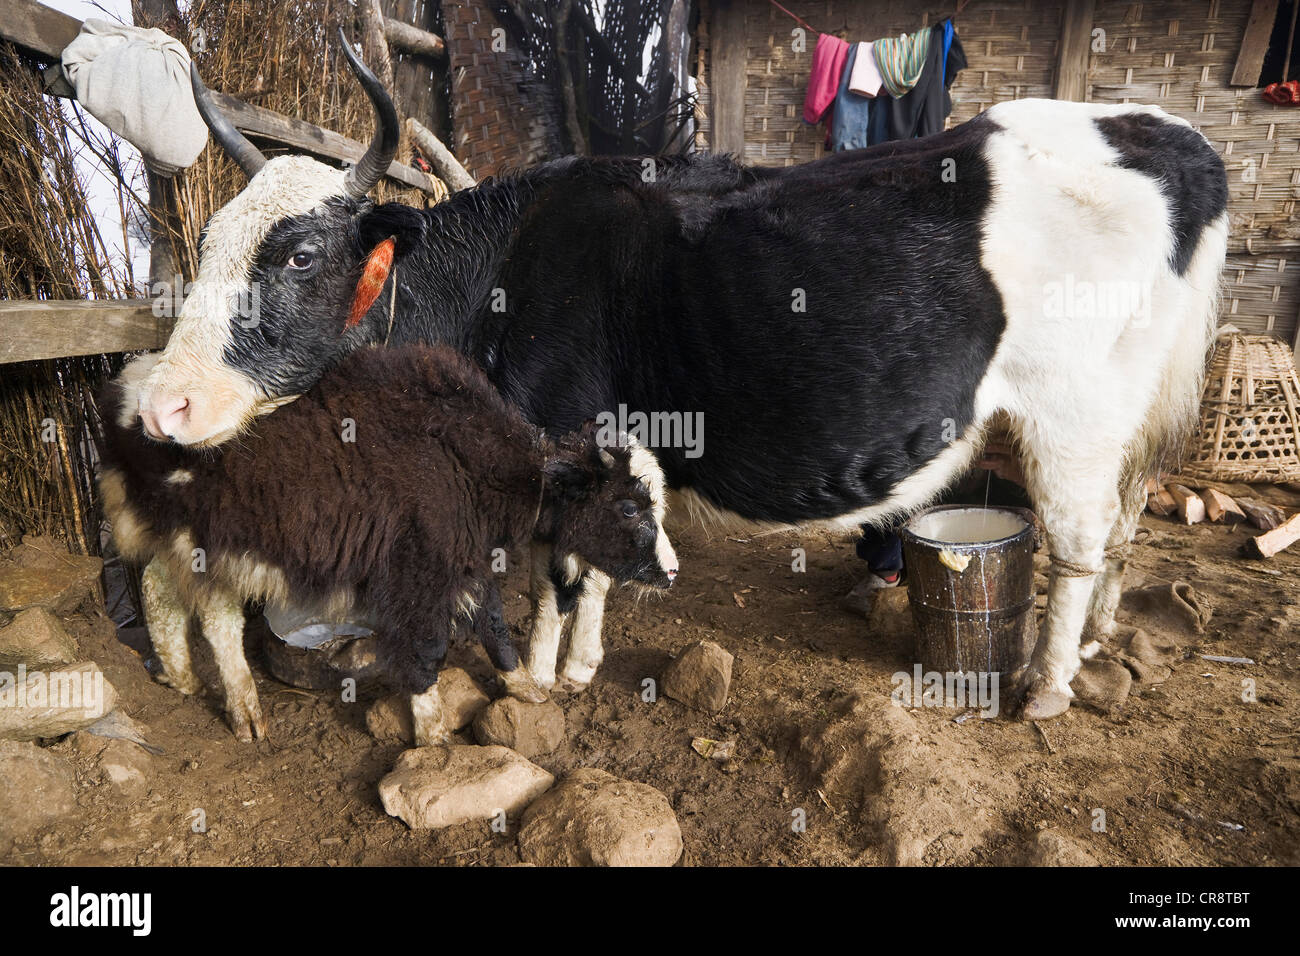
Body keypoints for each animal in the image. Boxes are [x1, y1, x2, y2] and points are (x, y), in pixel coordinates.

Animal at [100, 343, 676, 743]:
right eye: (629, 506)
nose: (671, 572)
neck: (472, 459)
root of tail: (128, 392)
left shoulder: (467, 560)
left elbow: (492, 623)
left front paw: (521, 686)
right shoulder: (419, 576)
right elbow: (429, 647)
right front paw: (432, 730)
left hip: (193, 544)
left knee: (161, 591)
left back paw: (183, 678)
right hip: (205, 541)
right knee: (214, 618)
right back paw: (245, 712)